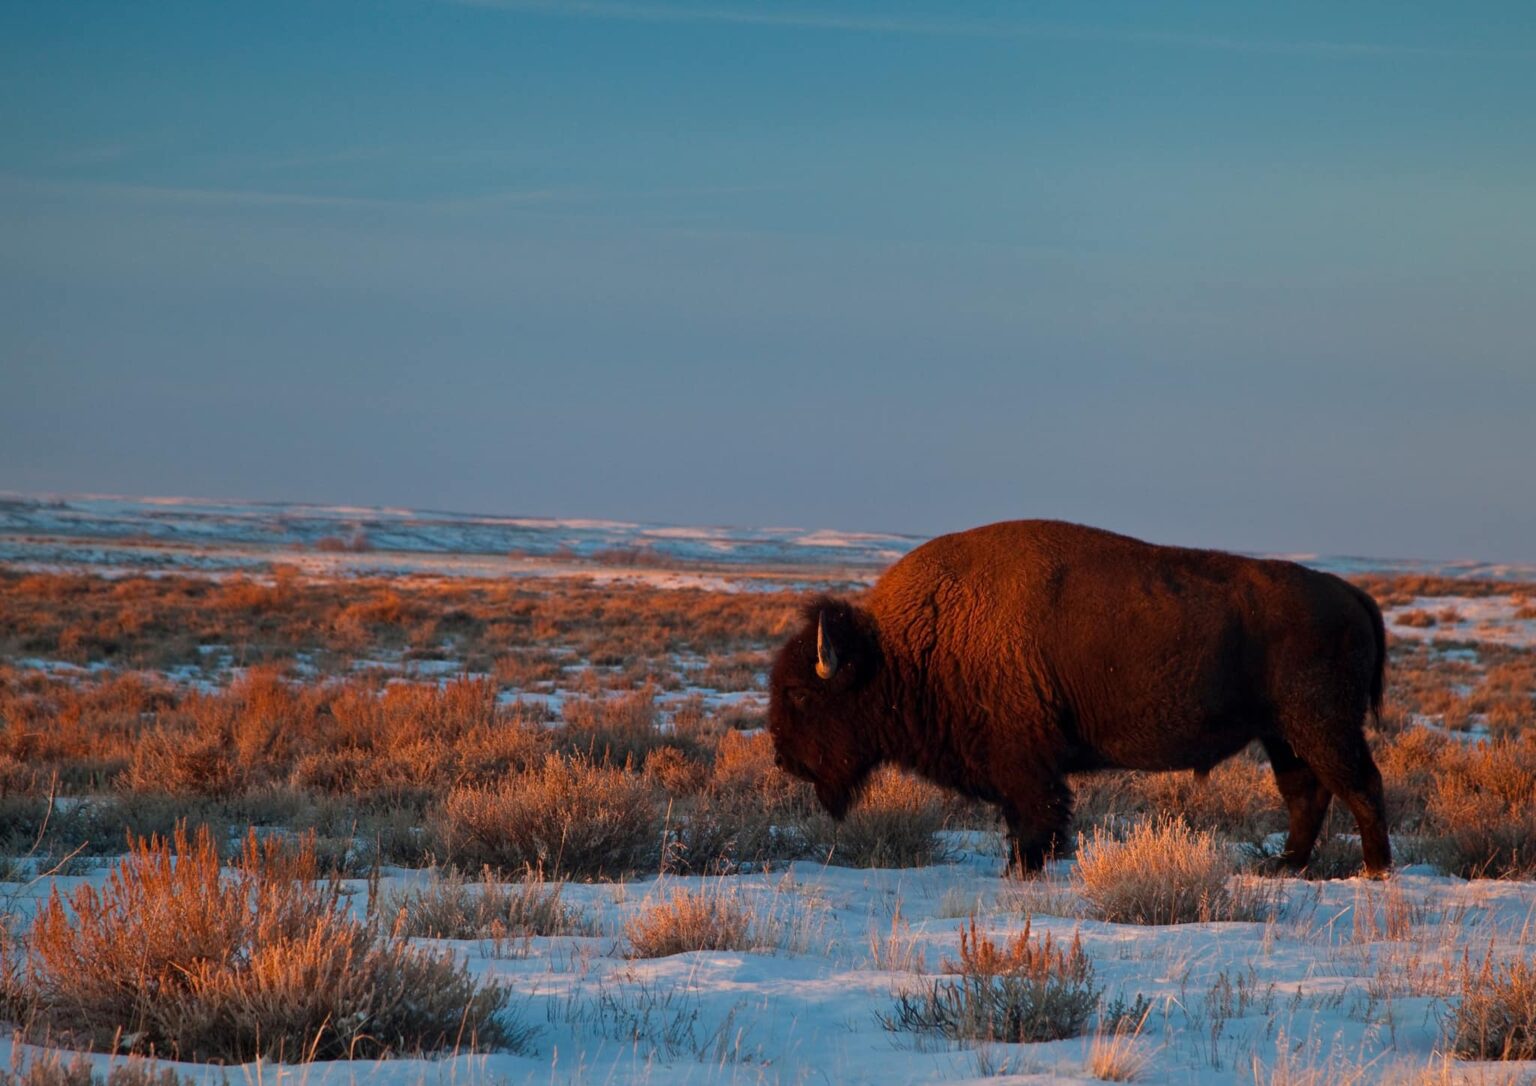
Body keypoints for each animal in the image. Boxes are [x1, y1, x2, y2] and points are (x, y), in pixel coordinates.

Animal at [768, 520, 1390, 876]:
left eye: (799, 695)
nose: (783, 759)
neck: (902, 648)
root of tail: (1351, 594)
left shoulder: (1026, 766)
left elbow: (1037, 819)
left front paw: (1021, 871)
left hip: (1321, 724)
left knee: (1360, 784)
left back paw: (1375, 871)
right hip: (1283, 735)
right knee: (1307, 794)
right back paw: (1285, 869)